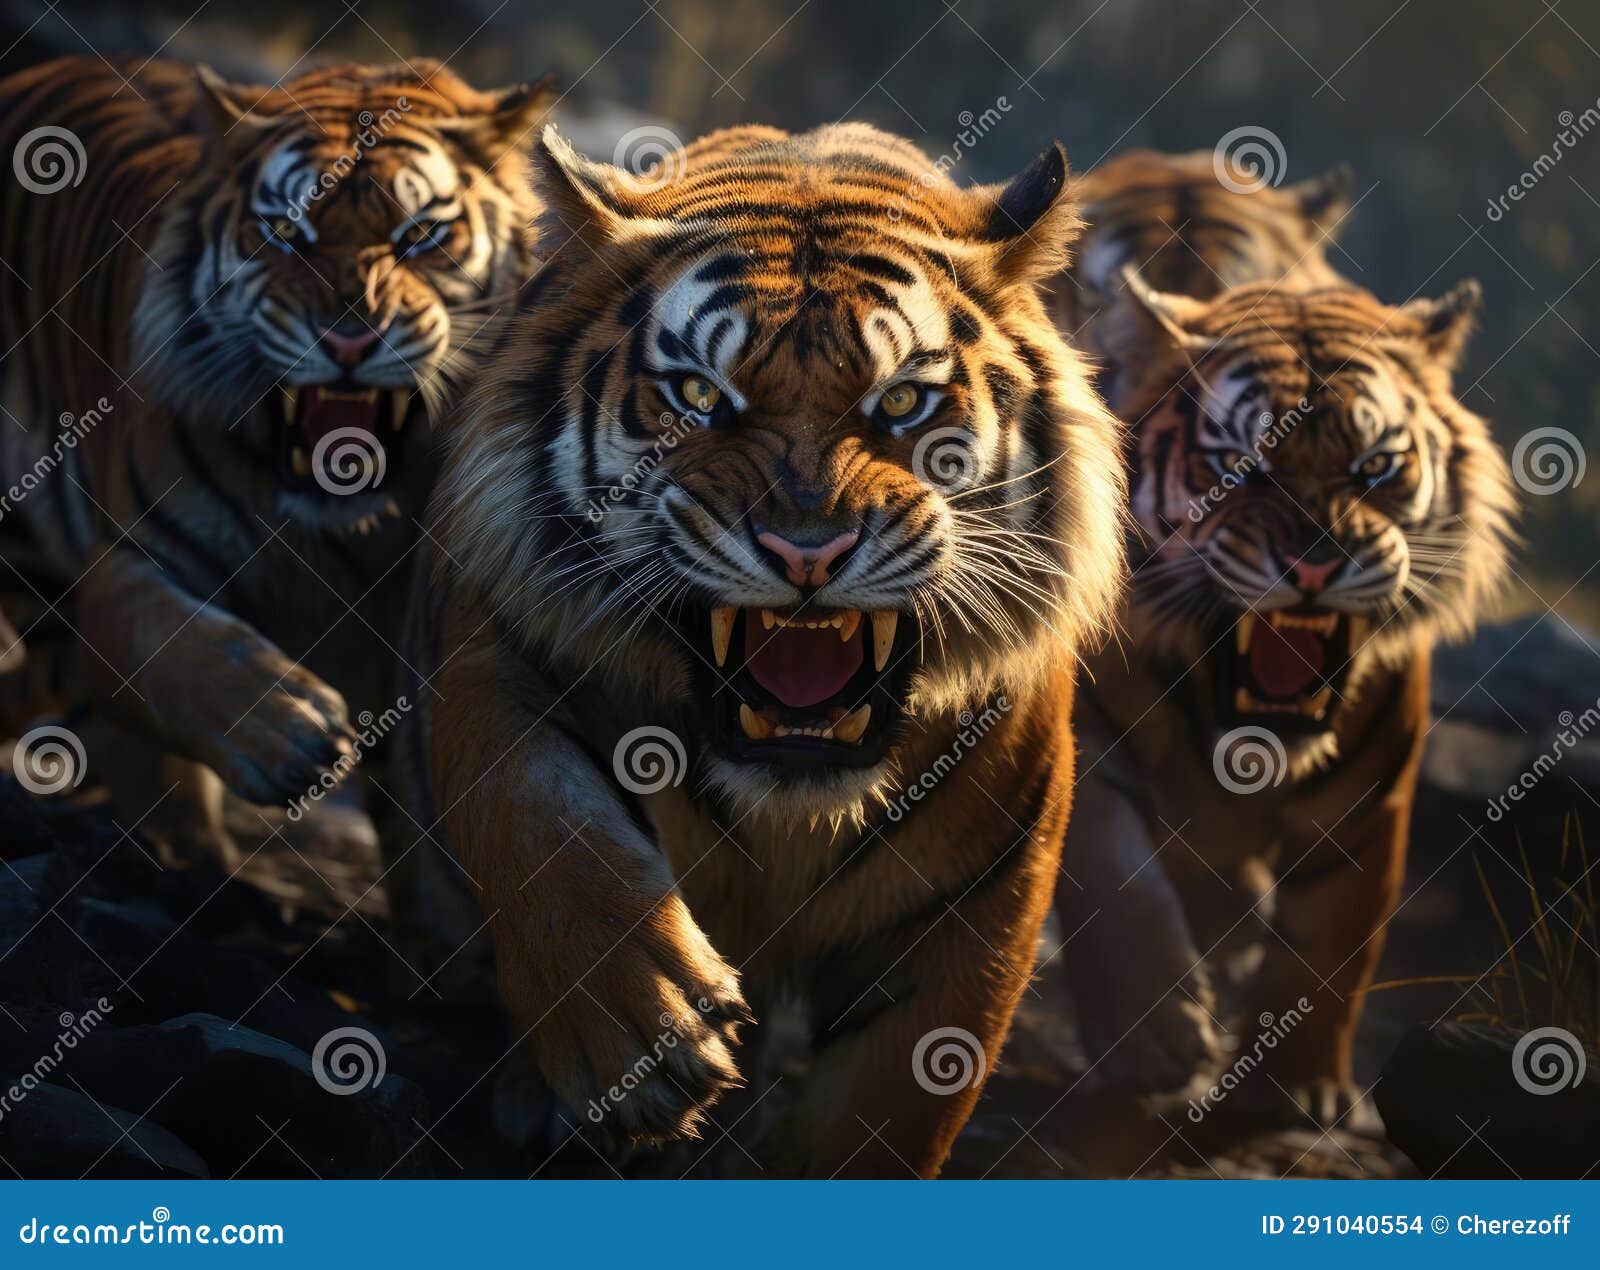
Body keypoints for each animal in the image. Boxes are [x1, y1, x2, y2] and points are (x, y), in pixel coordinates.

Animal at [0, 57, 549, 847]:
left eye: (420, 235)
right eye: (287, 232)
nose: (348, 338)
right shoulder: (133, 563)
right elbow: (176, 645)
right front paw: (292, 731)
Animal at [393, 122, 1126, 1177]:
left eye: (901, 402)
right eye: (699, 395)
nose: (807, 549)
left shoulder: (978, 904)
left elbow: (885, 1113)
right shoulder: (500, 651)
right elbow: (538, 822)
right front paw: (646, 1037)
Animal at [1054, 273, 1516, 1124]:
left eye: (1376, 466)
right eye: (1243, 465)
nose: (1315, 565)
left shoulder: (1368, 798)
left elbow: (1332, 942)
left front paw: (1294, 1088)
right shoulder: (1083, 734)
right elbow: (1113, 871)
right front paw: (1153, 1044)